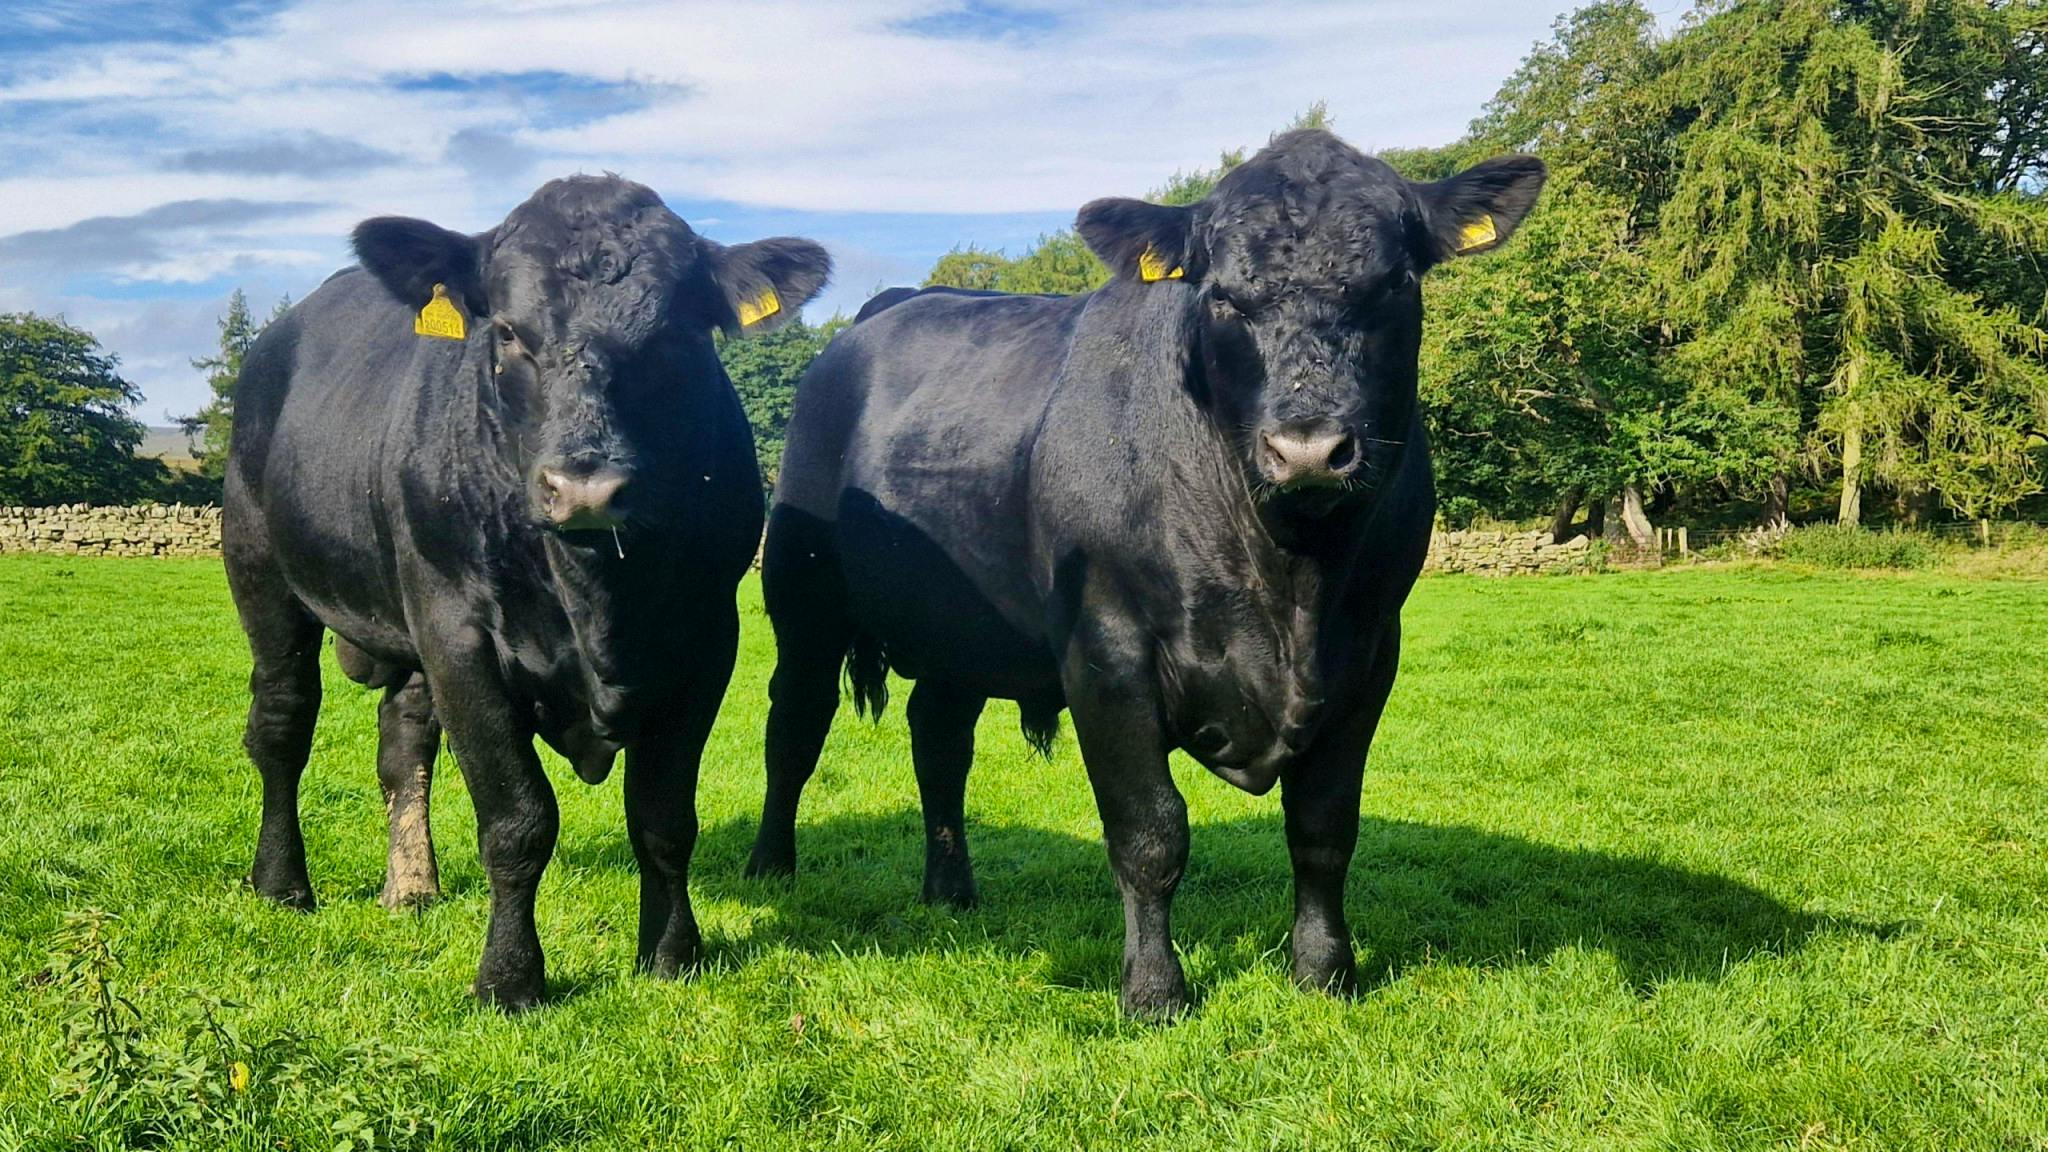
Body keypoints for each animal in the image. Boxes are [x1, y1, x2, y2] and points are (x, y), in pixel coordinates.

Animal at [225, 174, 830, 1009]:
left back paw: (411, 885)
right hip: (260, 565)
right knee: (282, 724)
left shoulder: (707, 639)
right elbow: (518, 820)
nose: (585, 486)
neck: (597, 598)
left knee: (402, 738)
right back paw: (282, 883)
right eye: (508, 332)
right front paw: (510, 978)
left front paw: (673, 953)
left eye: (676, 336)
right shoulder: (460, 637)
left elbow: (665, 815)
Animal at [744, 129, 1543, 1019]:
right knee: (795, 727)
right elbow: (1150, 831)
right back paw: (770, 867)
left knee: (940, 742)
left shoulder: (1370, 653)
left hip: (960, 628)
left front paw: (1325, 972)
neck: (1289, 577)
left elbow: (1325, 826)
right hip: (803, 600)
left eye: (1394, 286)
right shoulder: (1106, 649)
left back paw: (950, 890)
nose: (1308, 449)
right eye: (1223, 298)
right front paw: (1156, 991)